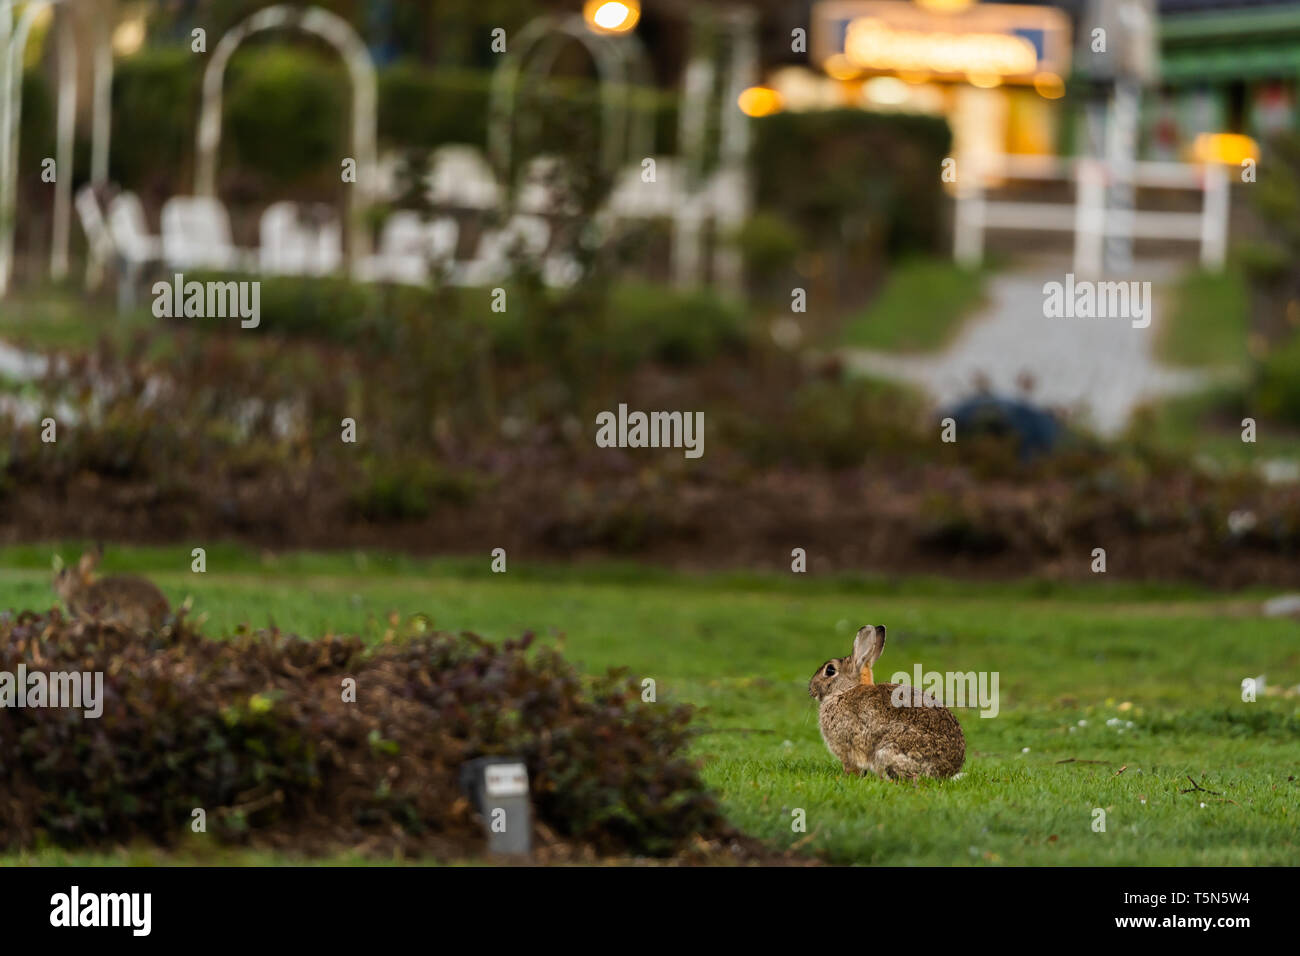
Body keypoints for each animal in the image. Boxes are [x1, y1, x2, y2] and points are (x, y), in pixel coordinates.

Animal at [808, 625, 965, 780]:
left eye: (830, 670)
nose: (811, 689)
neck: (845, 690)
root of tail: (946, 771)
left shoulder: (846, 748)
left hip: (888, 751)